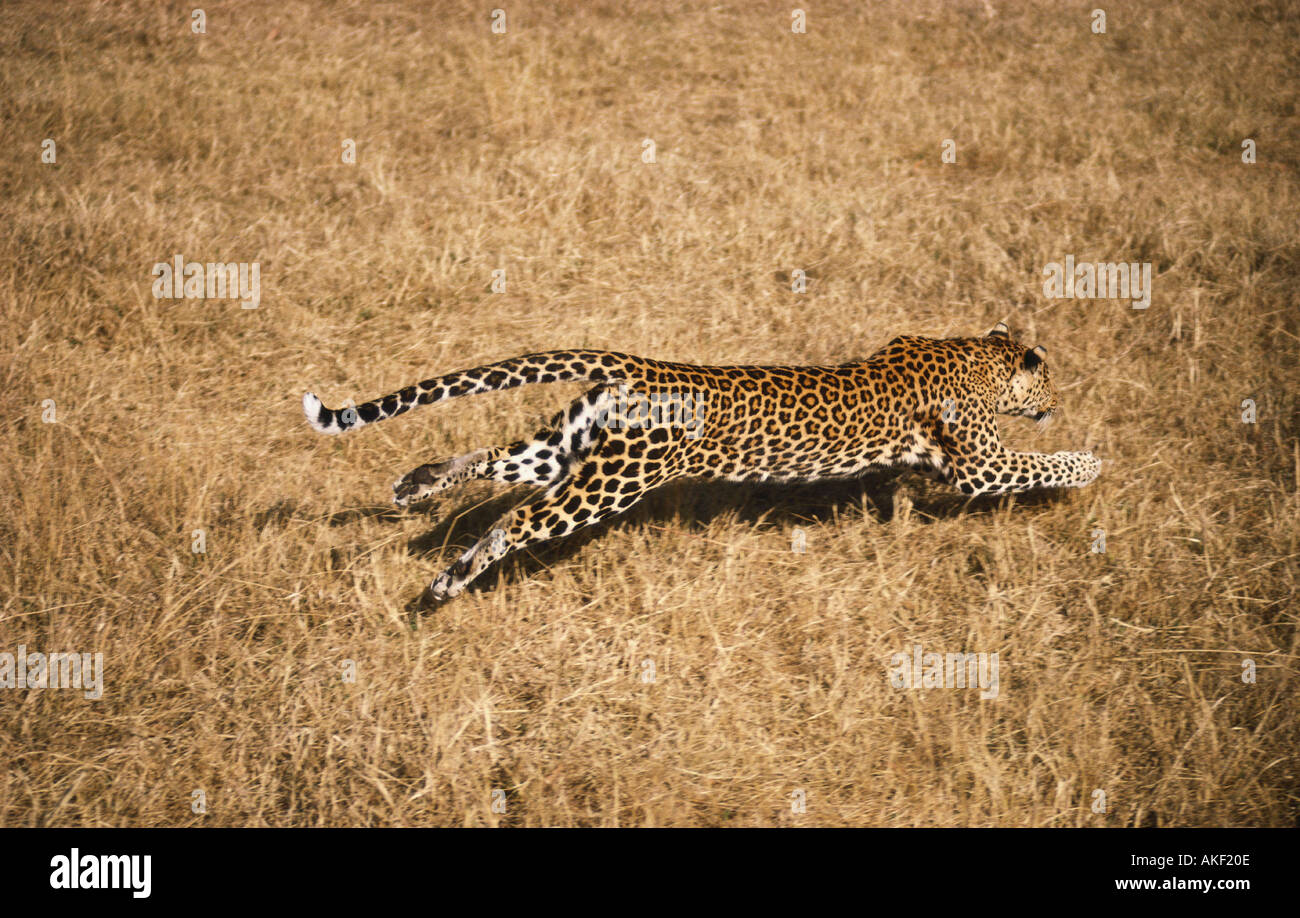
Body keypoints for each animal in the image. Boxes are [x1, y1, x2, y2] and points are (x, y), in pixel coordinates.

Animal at [303, 323, 1101, 602]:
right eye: (1052, 379)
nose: (1059, 400)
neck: (976, 352)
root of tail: (640, 365)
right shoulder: (980, 464)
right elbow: (1038, 464)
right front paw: (1090, 462)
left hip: (570, 450)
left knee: (493, 460)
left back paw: (418, 485)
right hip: (609, 483)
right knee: (519, 521)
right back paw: (450, 578)